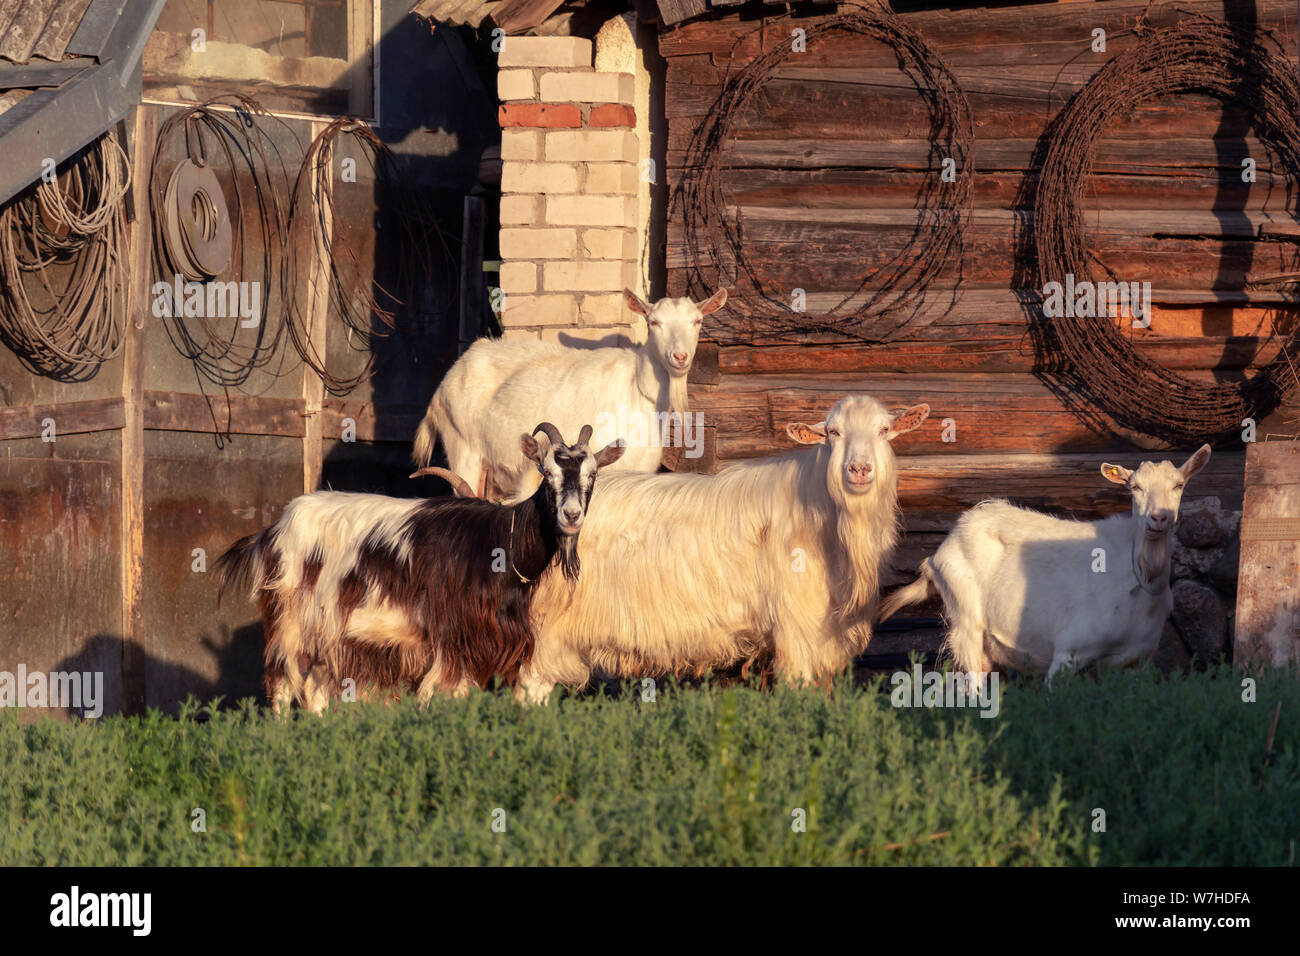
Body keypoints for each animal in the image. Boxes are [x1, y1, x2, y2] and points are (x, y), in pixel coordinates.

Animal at [216, 423, 625, 713]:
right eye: (546, 471)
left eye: (592, 475)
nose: (571, 516)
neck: (499, 542)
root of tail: (272, 531)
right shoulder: (452, 645)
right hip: (288, 624)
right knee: (282, 687)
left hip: (328, 636)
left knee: (316, 690)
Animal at [516, 395, 930, 702]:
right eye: (833, 432)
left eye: (884, 430)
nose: (859, 470)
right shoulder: (798, 630)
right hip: (545, 628)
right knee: (529, 687)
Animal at [878, 445, 1213, 681]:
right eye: (1134, 487)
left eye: (1179, 485)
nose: (1159, 518)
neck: (1141, 577)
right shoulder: (1069, 651)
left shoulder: (1138, 661)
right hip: (965, 620)